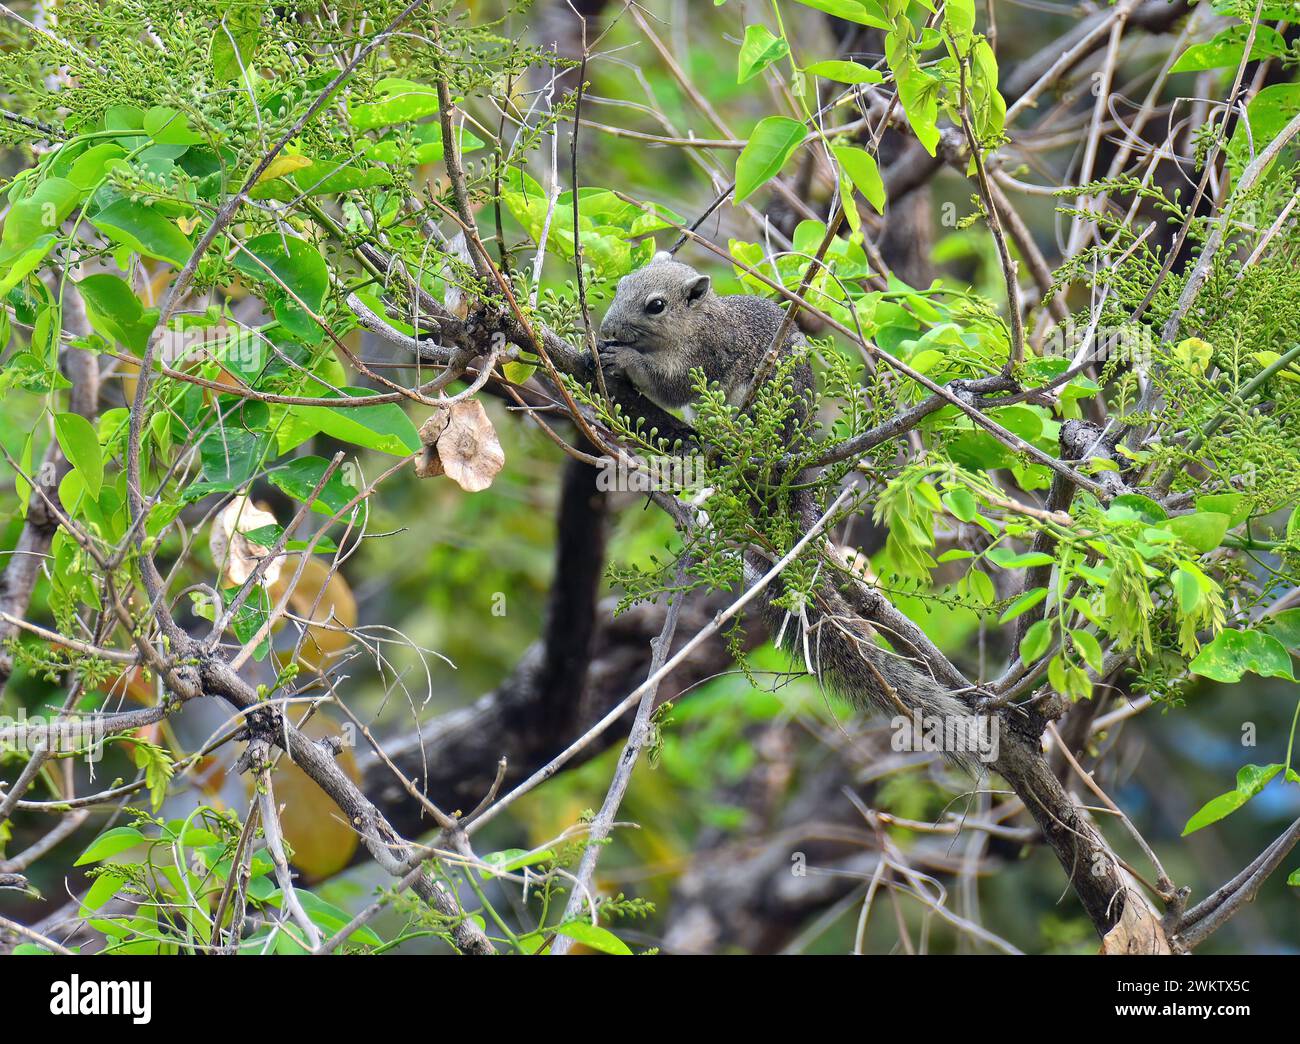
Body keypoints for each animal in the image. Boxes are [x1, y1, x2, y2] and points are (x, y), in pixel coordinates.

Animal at [595, 253, 987, 775]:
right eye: (621, 284)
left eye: (655, 306)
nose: (606, 327)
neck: (696, 322)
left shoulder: (708, 355)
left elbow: (670, 384)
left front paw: (624, 359)